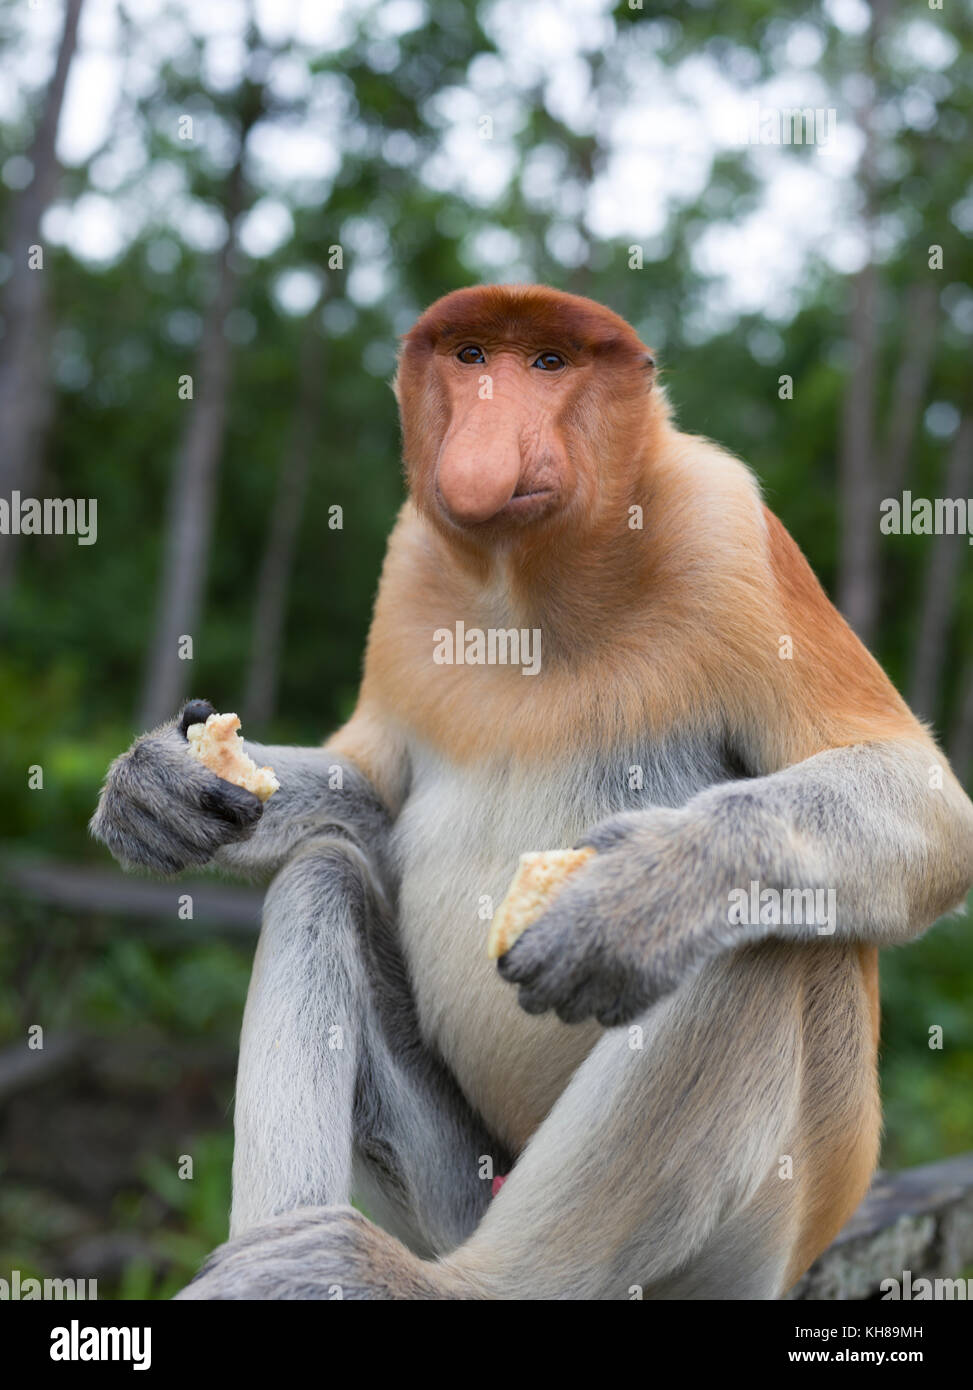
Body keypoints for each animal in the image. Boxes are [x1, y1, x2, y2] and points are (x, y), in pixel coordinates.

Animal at [91, 284, 973, 1300]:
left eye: (548, 364)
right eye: (472, 356)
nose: (486, 433)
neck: (524, 588)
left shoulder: (729, 531)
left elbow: (925, 800)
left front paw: (640, 892)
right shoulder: (408, 568)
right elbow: (376, 796)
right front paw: (159, 786)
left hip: (745, 1250)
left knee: (762, 946)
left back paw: (430, 1281)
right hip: (459, 1187)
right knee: (324, 878)